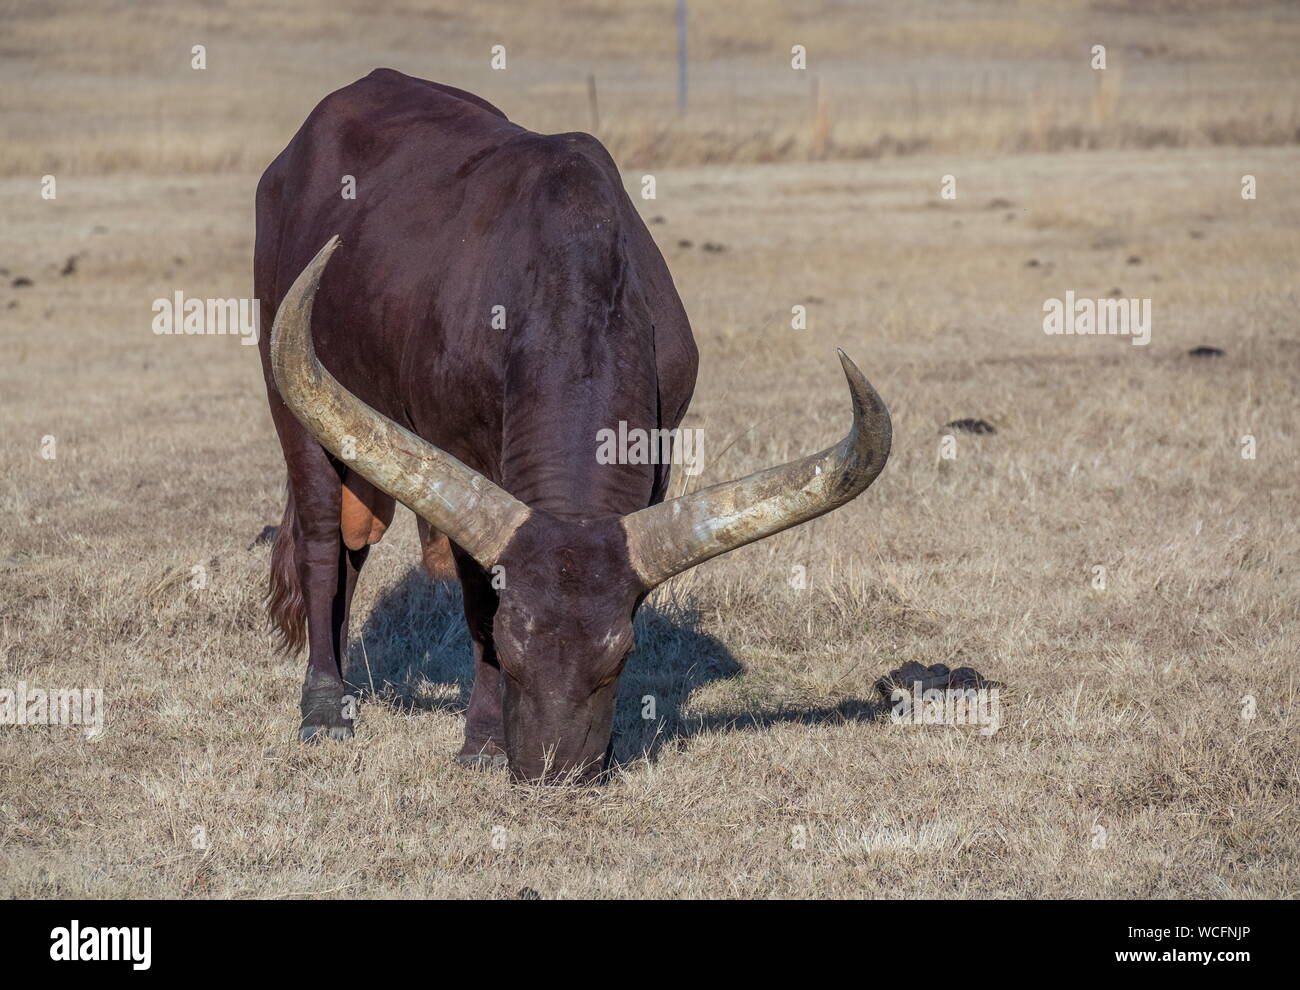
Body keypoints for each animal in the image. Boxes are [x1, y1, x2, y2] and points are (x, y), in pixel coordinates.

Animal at [257, 69, 891, 783]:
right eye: (510, 645)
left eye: (620, 654)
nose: (552, 770)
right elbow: (474, 599)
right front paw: (481, 740)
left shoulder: (660, 452)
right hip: (288, 397)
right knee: (321, 540)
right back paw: (324, 706)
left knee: (353, 546)